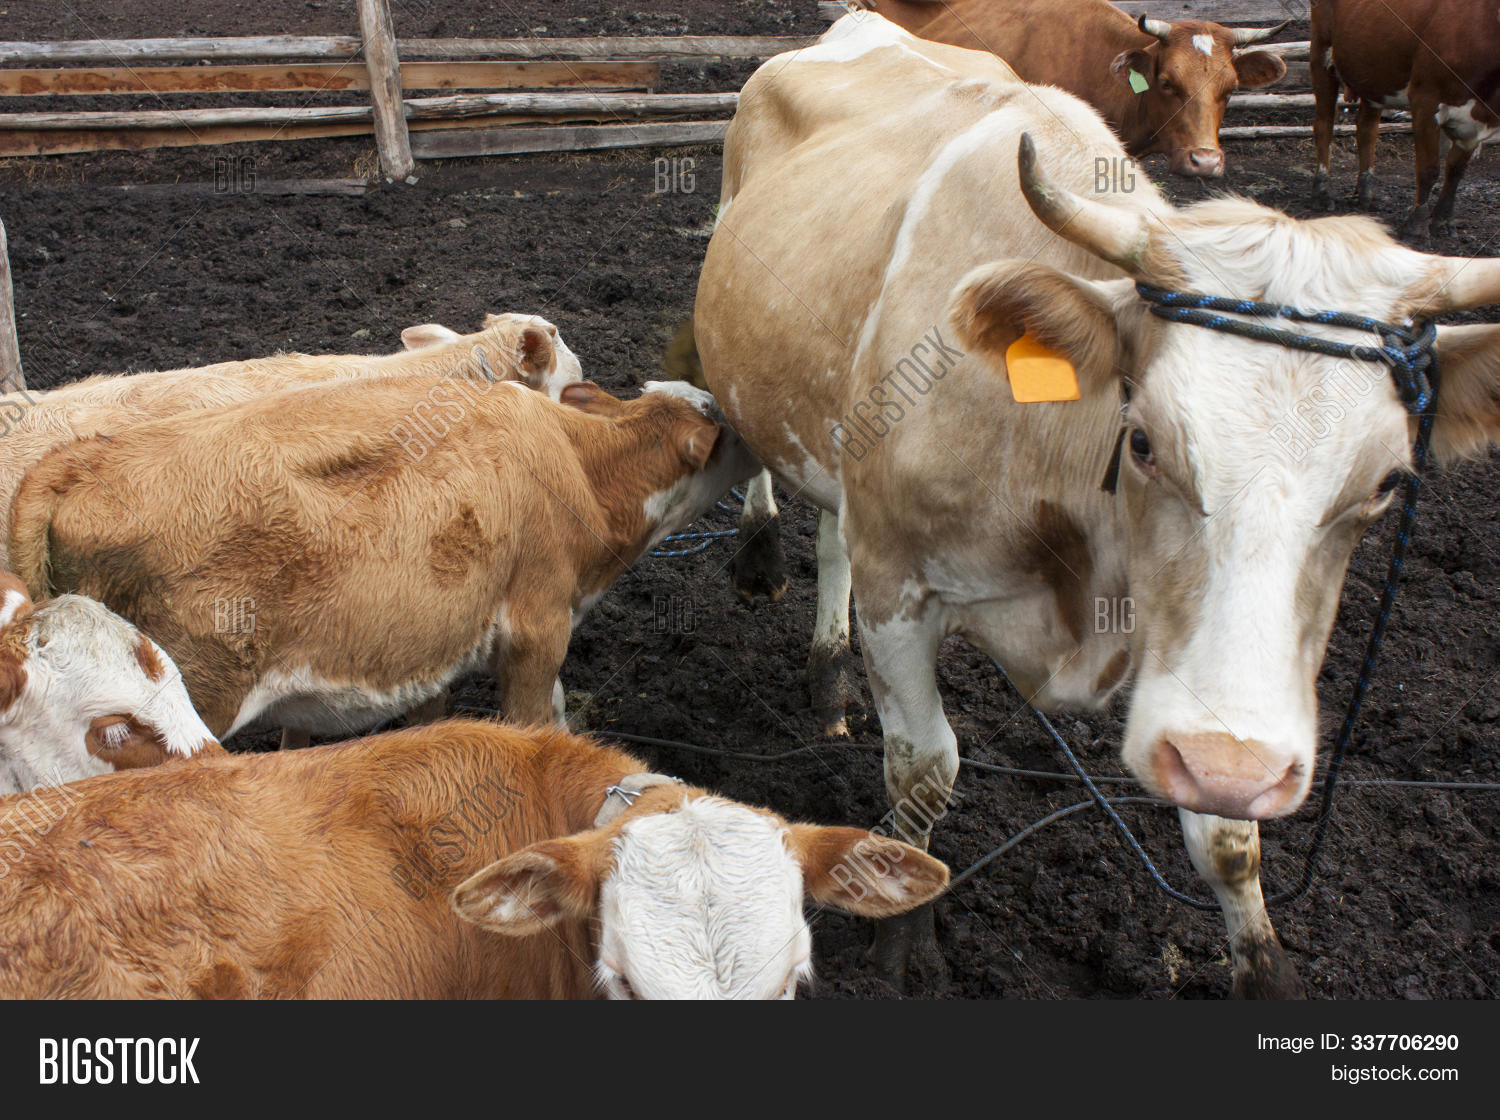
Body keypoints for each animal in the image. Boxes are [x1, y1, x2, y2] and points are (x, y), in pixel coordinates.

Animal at [8, 376, 759, 746]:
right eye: (722, 422)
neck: (577, 463)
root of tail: (83, 458)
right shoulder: (540, 625)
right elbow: (536, 722)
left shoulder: (429, 651)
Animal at [1311, 0, 1500, 234]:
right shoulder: (1425, 99)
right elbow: (1429, 169)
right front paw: (1416, 224)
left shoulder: (1474, 125)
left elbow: (1456, 170)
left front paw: (1442, 220)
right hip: (1321, 52)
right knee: (1323, 125)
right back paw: (1322, 191)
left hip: (1373, 74)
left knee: (1366, 128)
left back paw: (1365, 191)